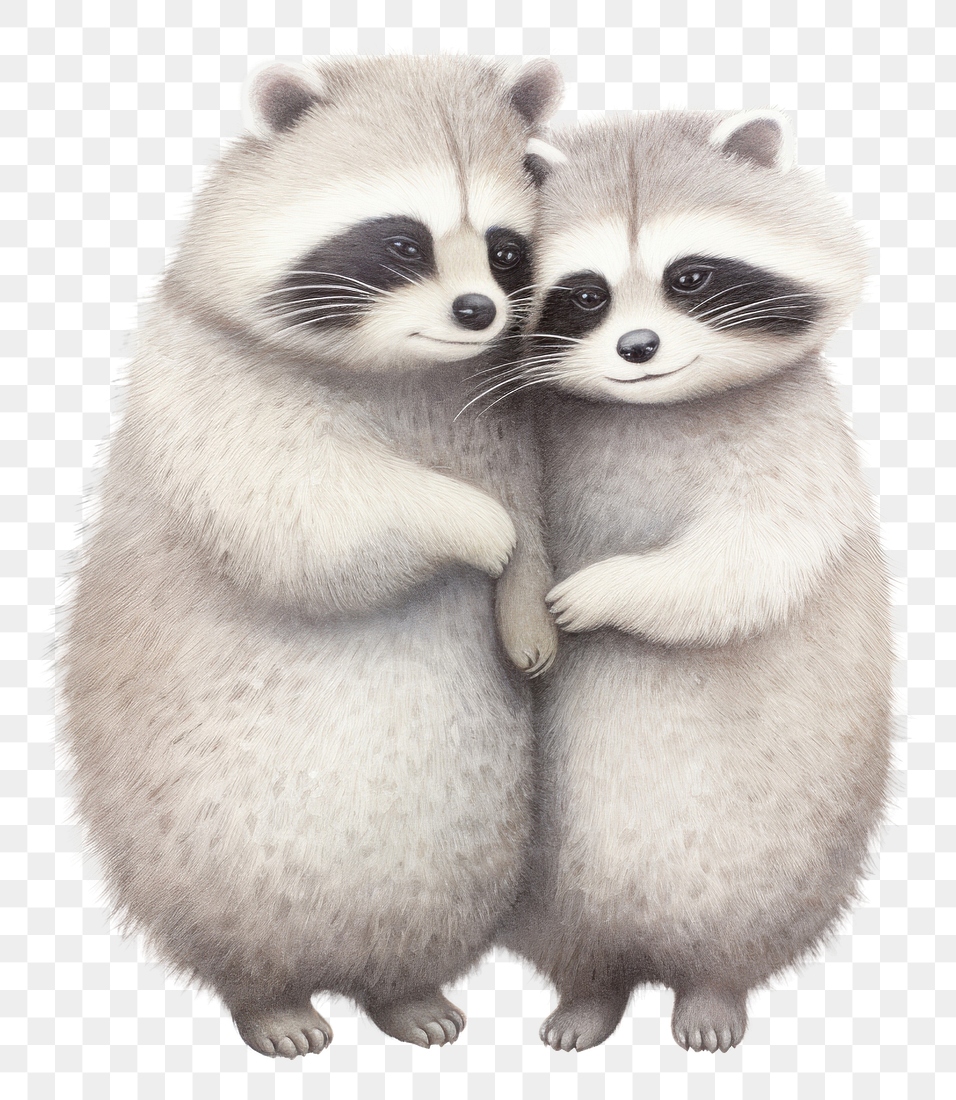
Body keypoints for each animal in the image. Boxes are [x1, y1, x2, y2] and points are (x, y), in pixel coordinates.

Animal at [60, 55, 563, 1057]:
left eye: (504, 251)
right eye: (404, 243)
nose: (478, 311)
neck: (406, 367)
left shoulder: (501, 413)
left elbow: (531, 507)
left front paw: (524, 595)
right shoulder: (209, 383)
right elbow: (312, 517)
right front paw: (476, 526)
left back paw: (407, 993)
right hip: (192, 845)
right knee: (234, 926)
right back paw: (271, 1000)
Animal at [500, 110, 893, 1053]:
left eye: (690, 276)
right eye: (588, 295)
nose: (638, 348)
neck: (651, 407)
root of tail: (647, 945)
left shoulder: (797, 441)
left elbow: (749, 558)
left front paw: (607, 590)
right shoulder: (535, 424)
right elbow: (509, 522)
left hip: (788, 857)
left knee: (740, 928)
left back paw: (713, 992)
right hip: (552, 886)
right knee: (580, 946)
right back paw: (588, 995)